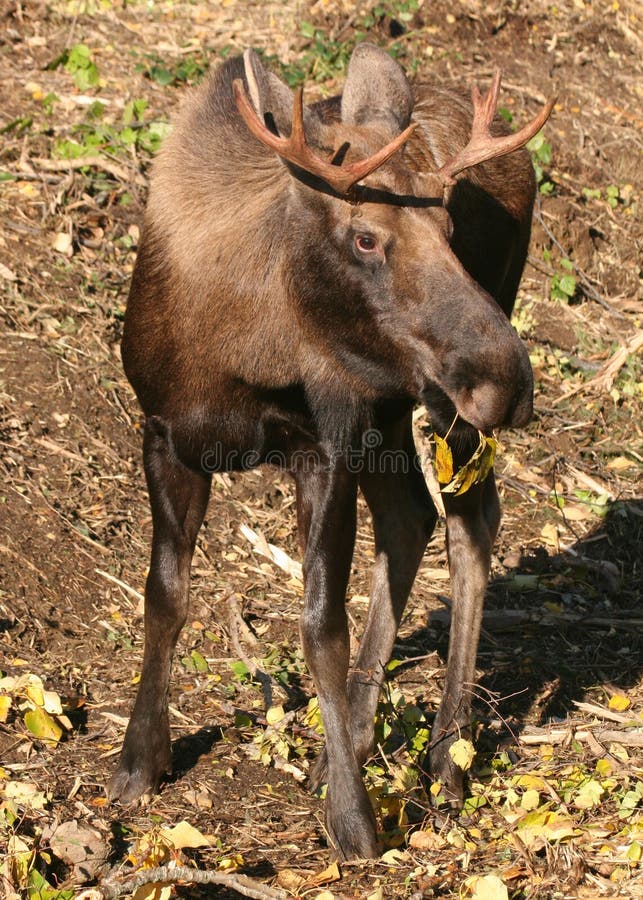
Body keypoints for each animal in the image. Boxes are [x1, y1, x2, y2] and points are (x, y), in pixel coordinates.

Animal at [108, 42, 554, 860]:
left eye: (450, 226)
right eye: (365, 235)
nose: (510, 380)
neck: (240, 352)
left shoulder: (325, 445)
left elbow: (320, 625)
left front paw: (352, 820)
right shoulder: (163, 436)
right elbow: (164, 594)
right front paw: (138, 762)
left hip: (436, 401)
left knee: (471, 518)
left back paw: (444, 761)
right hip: (396, 409)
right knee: (413, 517)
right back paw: (355, 738)